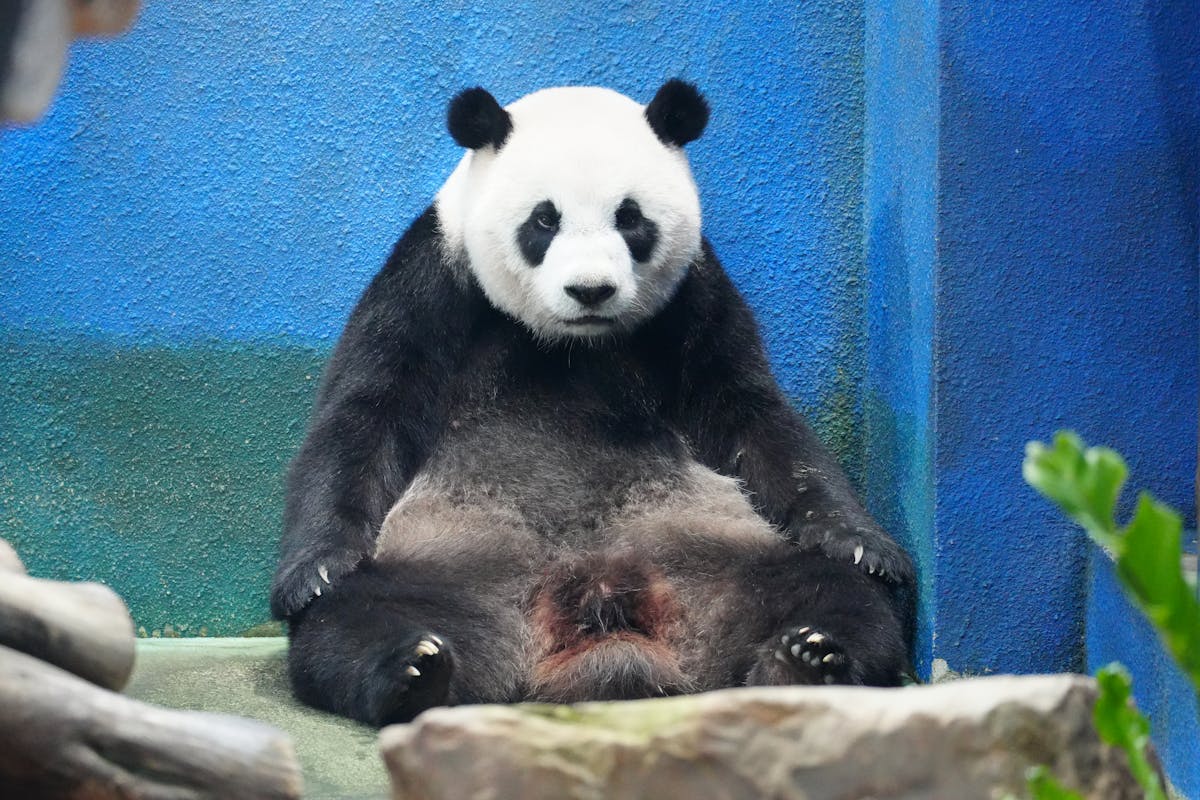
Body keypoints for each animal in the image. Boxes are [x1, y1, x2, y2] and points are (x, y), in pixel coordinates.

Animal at [270, 80, 914, 727]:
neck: (571, 343)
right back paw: (414, 671)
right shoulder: (432, 282)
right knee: (354, 620)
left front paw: (862, 544)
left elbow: (752, 415)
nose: (590, 290)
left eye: (630, 219)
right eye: (543, 219)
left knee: (835, 598)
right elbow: (367, 411)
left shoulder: (695, 298)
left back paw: (805, 660)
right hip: (455, 565)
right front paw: (316, 570)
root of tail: (600, 615)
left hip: (720, 556)